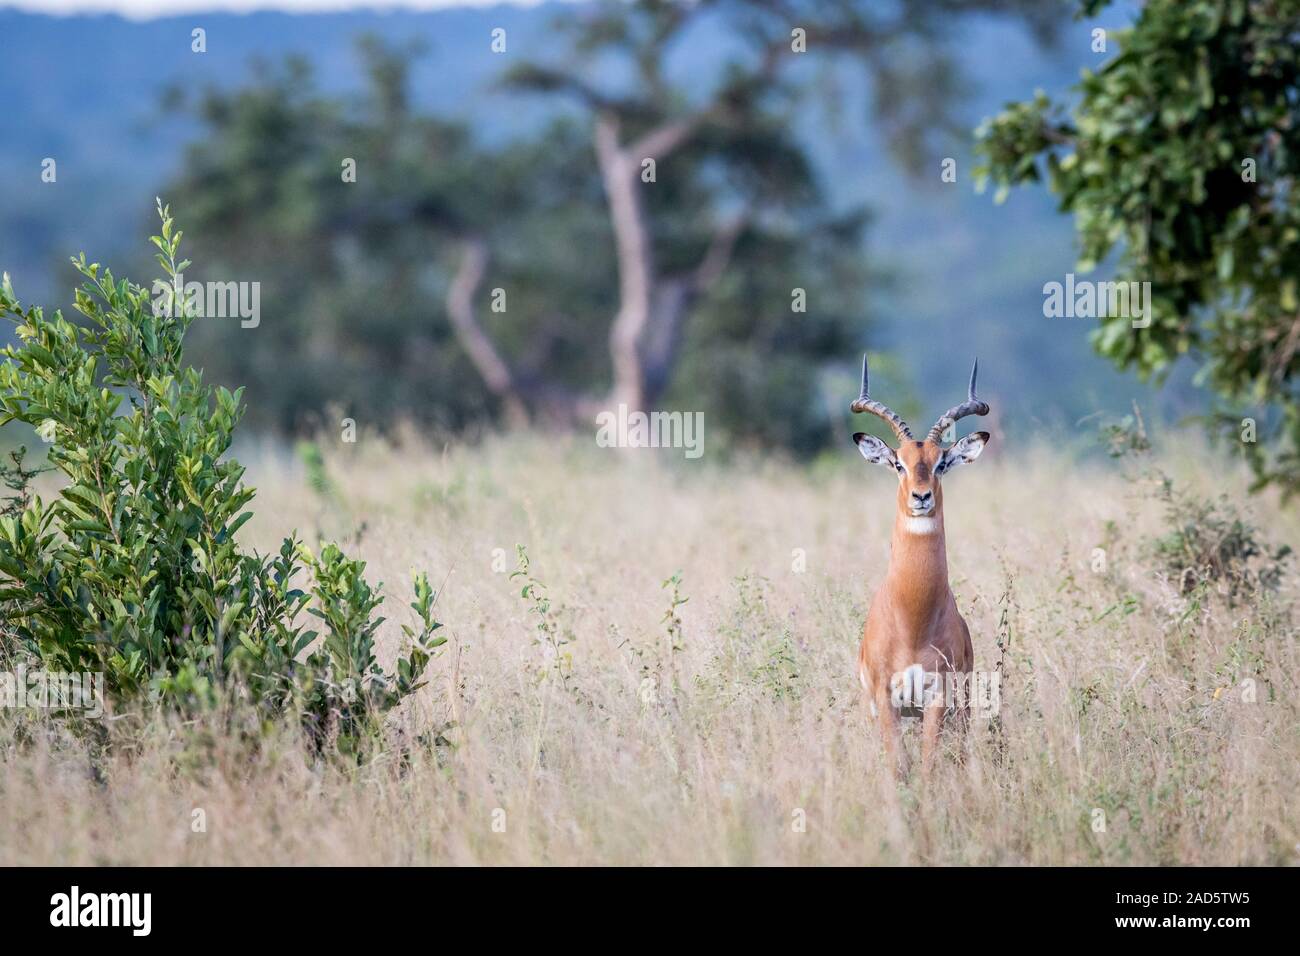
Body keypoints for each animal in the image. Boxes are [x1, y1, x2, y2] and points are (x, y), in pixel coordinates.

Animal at [850, 354, 990, 775]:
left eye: (941, 462)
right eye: (898, 463)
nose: (921, 496)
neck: (912, 620)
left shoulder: (937, 698)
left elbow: (926, 768)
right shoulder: (885, 699)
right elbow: (899, 767)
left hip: (962, 708)